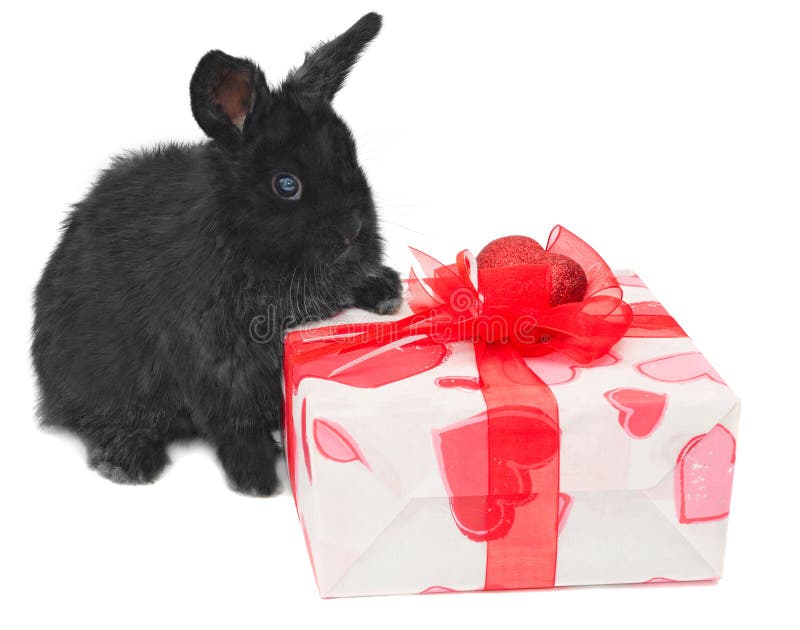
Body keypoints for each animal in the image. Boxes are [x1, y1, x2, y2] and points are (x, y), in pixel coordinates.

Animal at [31, 12, 401, 496]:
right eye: (287, 185)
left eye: (352, 158)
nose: (353, 233)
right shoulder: (217, 364)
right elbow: (235, 425)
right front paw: (259, 481)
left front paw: (386, 290)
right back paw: (130, 461)